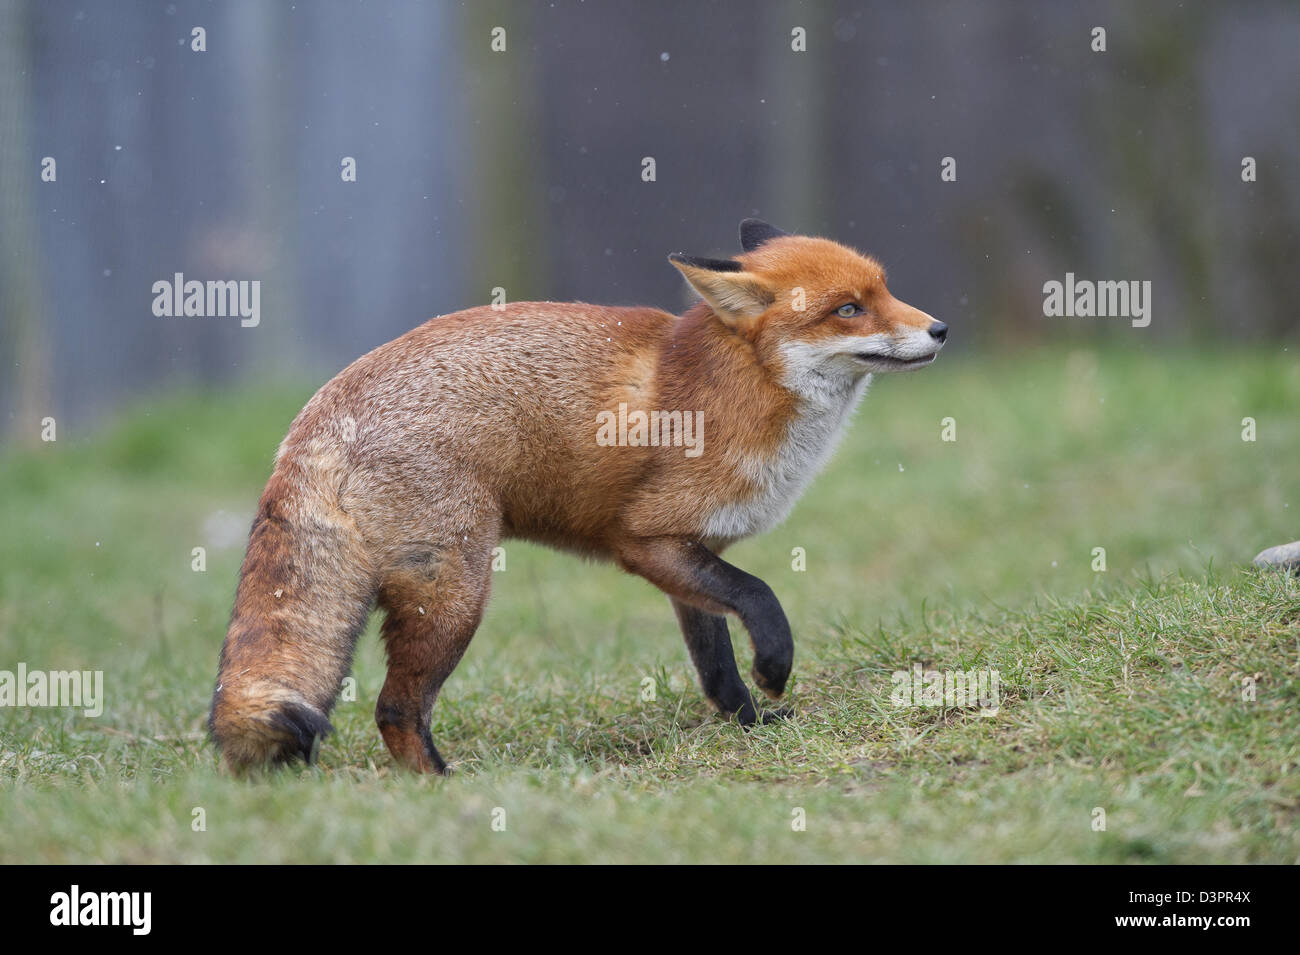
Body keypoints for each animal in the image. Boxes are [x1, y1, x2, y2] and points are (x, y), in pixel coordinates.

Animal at [209, 218, 947, 773]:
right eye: (848, 309)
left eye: (885, 291)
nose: (939, 328)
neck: (740, 385)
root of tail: (318, 412)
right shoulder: (644, 539)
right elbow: (760, 594)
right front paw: (776, 666)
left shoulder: (689, 553)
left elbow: (716, 667)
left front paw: (752, 723)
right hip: (455, 594)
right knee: (395, 709)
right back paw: (442, 785)